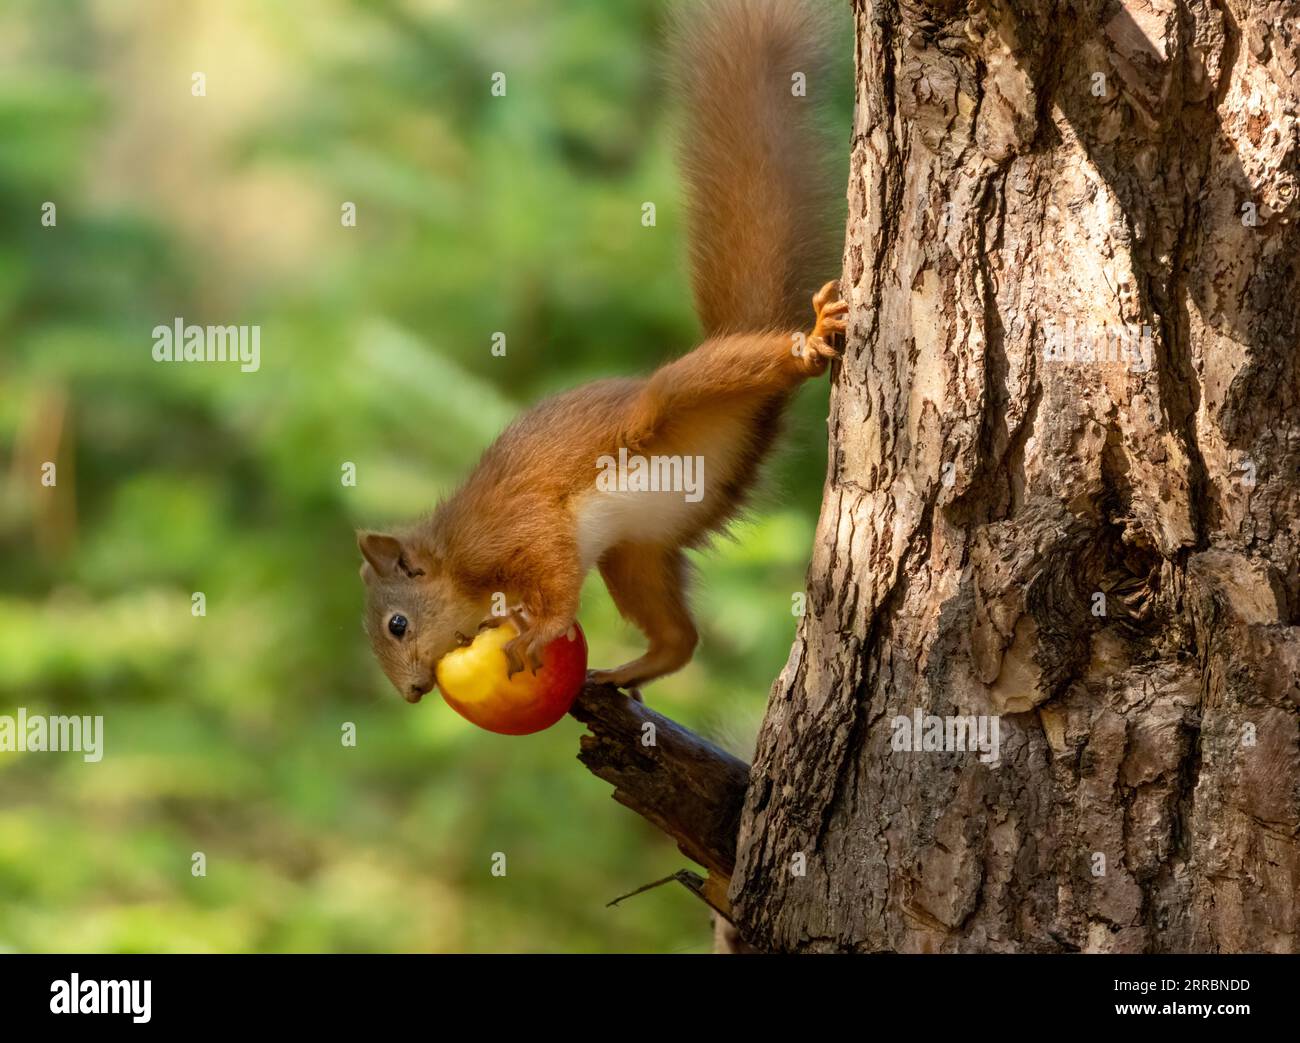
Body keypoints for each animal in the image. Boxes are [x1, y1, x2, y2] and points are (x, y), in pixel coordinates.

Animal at [359, 0, 846, 703]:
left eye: (397, 624)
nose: (413, 693)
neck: (456, 558)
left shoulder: (519, 529)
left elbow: (555, 573)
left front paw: (543, 628)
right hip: (635, 552)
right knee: (681, 639)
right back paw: (627, 671)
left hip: (678, 400)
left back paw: (806, 343)